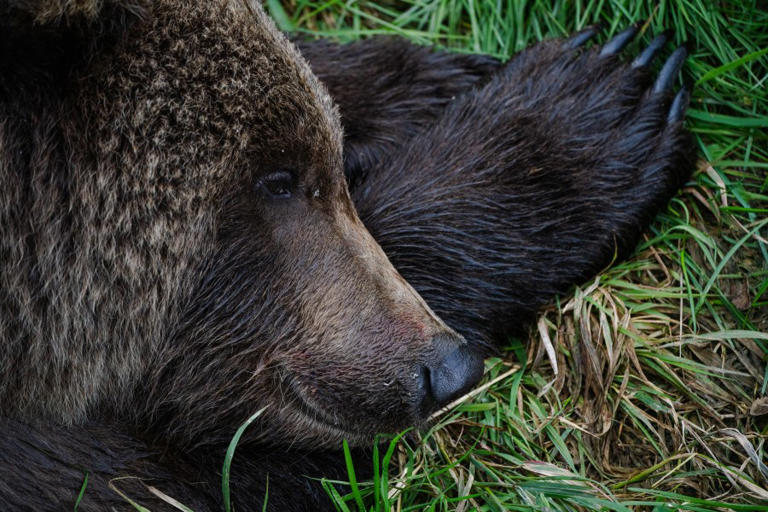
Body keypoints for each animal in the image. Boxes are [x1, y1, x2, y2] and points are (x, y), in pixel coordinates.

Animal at [0, 1, 695, 510]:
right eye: (276, 180)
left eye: (298, 168)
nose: (442, 368)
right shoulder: (51, 463)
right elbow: (193, 479)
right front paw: (578, 110)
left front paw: (446, 78)